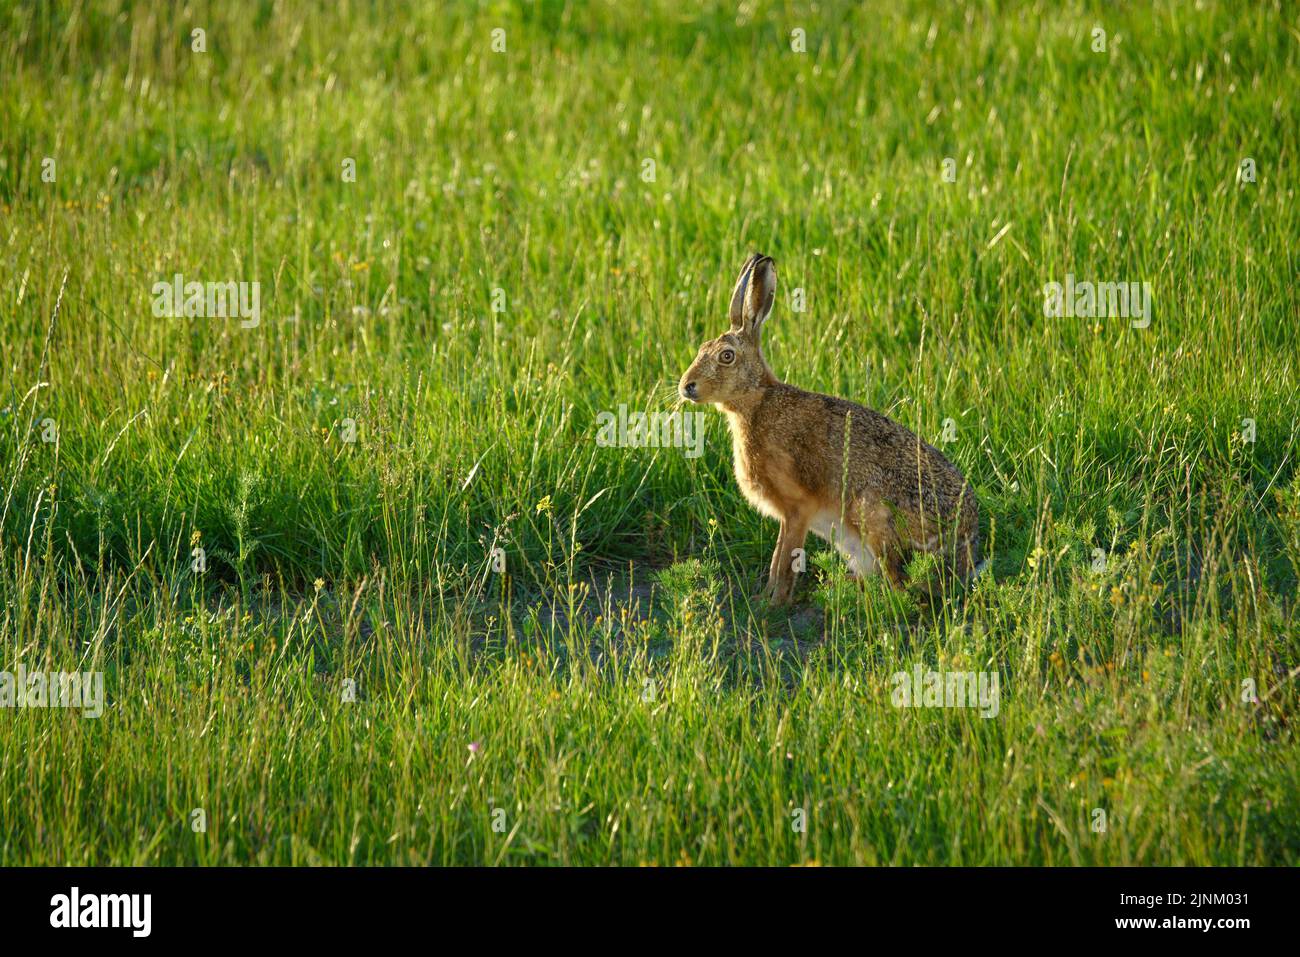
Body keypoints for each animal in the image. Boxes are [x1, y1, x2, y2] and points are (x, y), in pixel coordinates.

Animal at [679, 253, 981, 605]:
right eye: (702, 348)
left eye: (727, 357)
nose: (687, 387)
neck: (756, 401)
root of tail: (966, 549)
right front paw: (765, 599)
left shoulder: (797, 508)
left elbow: (783, 560)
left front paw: (774, 602)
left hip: (873, 514)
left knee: (899, 584)